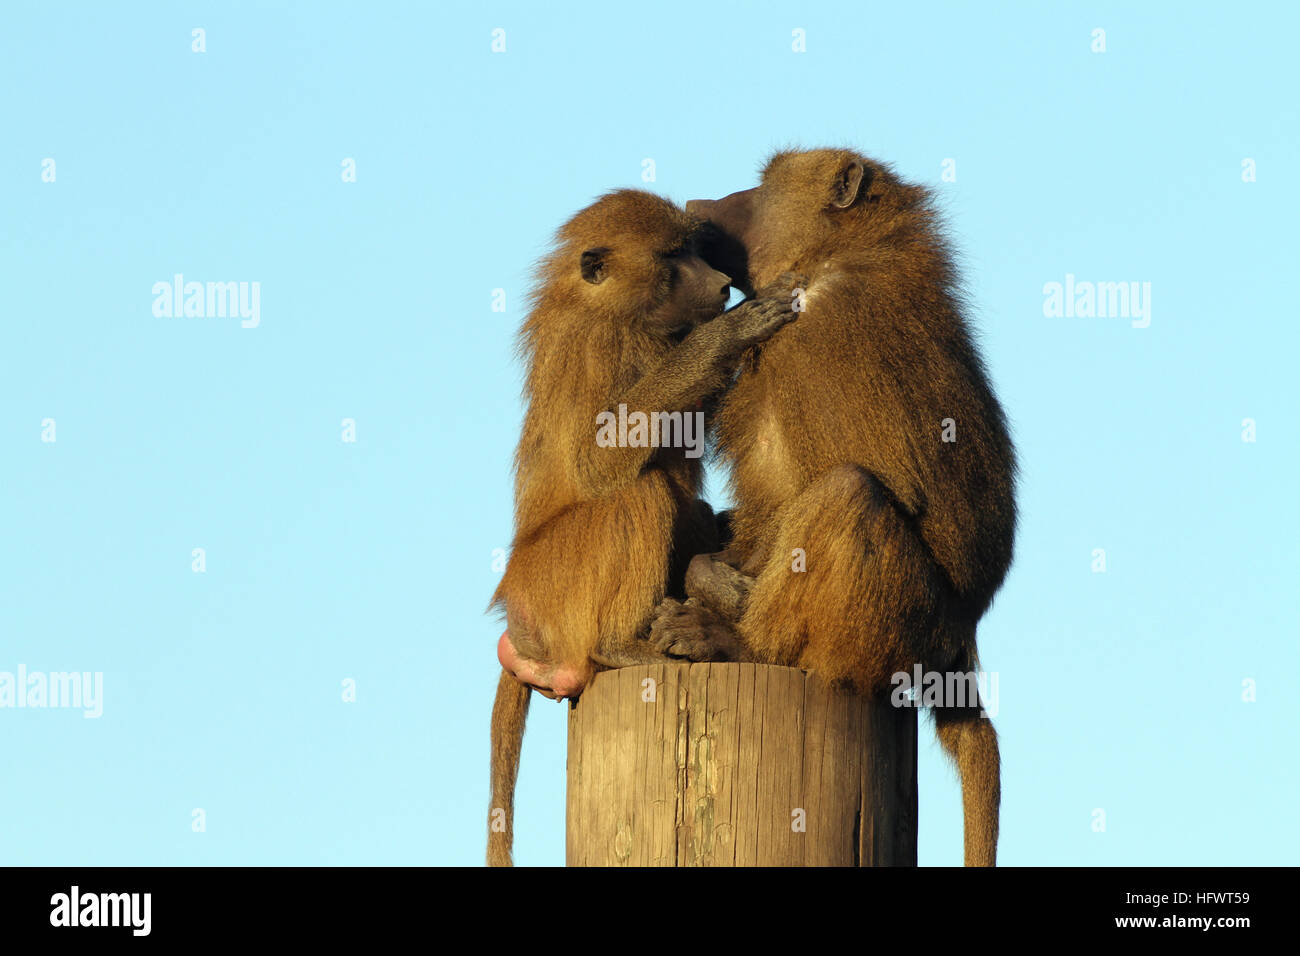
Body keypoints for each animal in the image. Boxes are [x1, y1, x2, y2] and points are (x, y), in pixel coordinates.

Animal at [487, 189, 801, 867]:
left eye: (693, 248)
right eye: (671, 256)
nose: (722, 285)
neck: (616, 311)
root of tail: (518, 611)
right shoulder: (597, 352)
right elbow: (597, 462)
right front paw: (728, 334)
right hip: (557, 583)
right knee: (640, 493)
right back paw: (620, 645)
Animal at [653, 148, 1016, 867]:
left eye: (764, 185)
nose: (704, 206)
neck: (836, 253)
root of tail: (961, 639)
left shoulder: (807, 329)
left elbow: (810, 486)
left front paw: (715, 596)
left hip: (905, 626)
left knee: (849, 494)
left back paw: (744, 643)